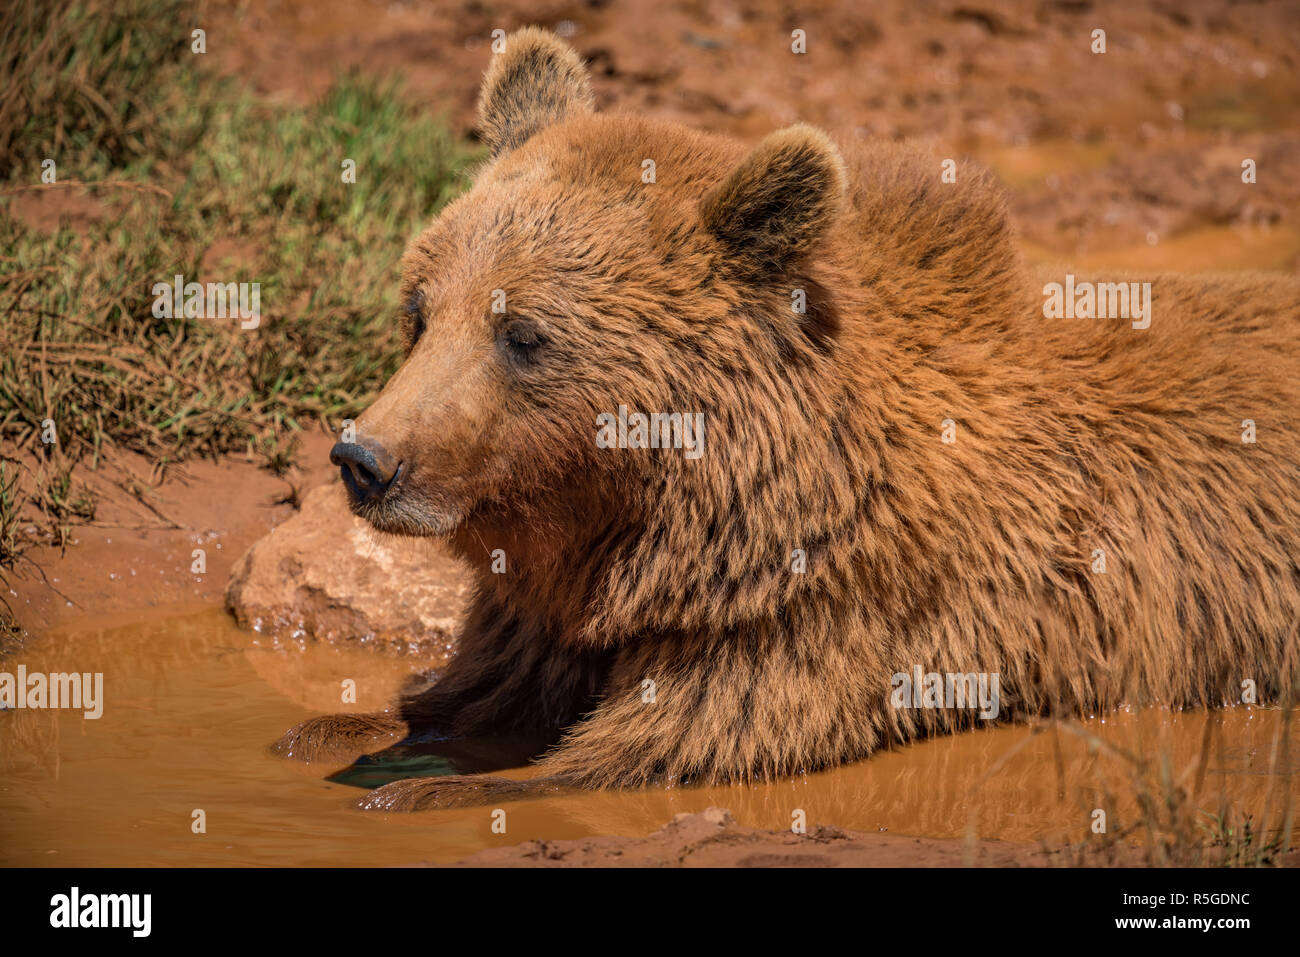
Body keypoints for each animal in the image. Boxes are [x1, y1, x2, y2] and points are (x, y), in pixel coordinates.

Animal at [273, 27, 1300, 810]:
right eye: (420, 308)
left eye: (522, 333)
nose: (366, 458)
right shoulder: (560, 606)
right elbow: (476, 689)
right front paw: (327, 729)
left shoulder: (823, 617)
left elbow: (652, 744)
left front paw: (421, 788)